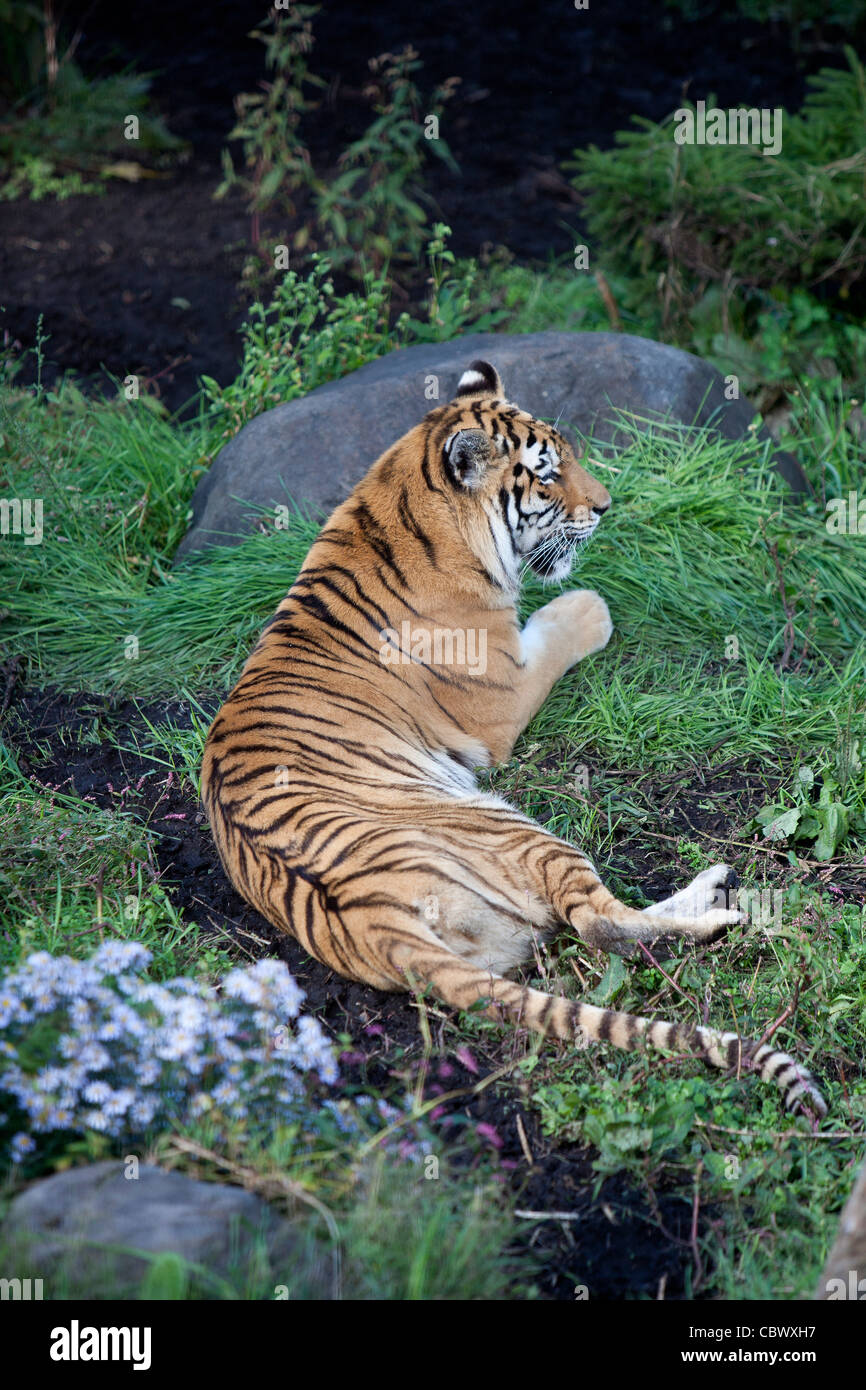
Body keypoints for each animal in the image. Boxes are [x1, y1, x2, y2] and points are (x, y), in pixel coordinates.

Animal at [200, 358, 826, 1117]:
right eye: (548, 475)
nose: (607, 505)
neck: (398, 501)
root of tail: (376, 923)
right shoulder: (503, 699)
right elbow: (564, 626)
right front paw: (592, 606)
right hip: (513, 827)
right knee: (602, 925)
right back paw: (717, 900)